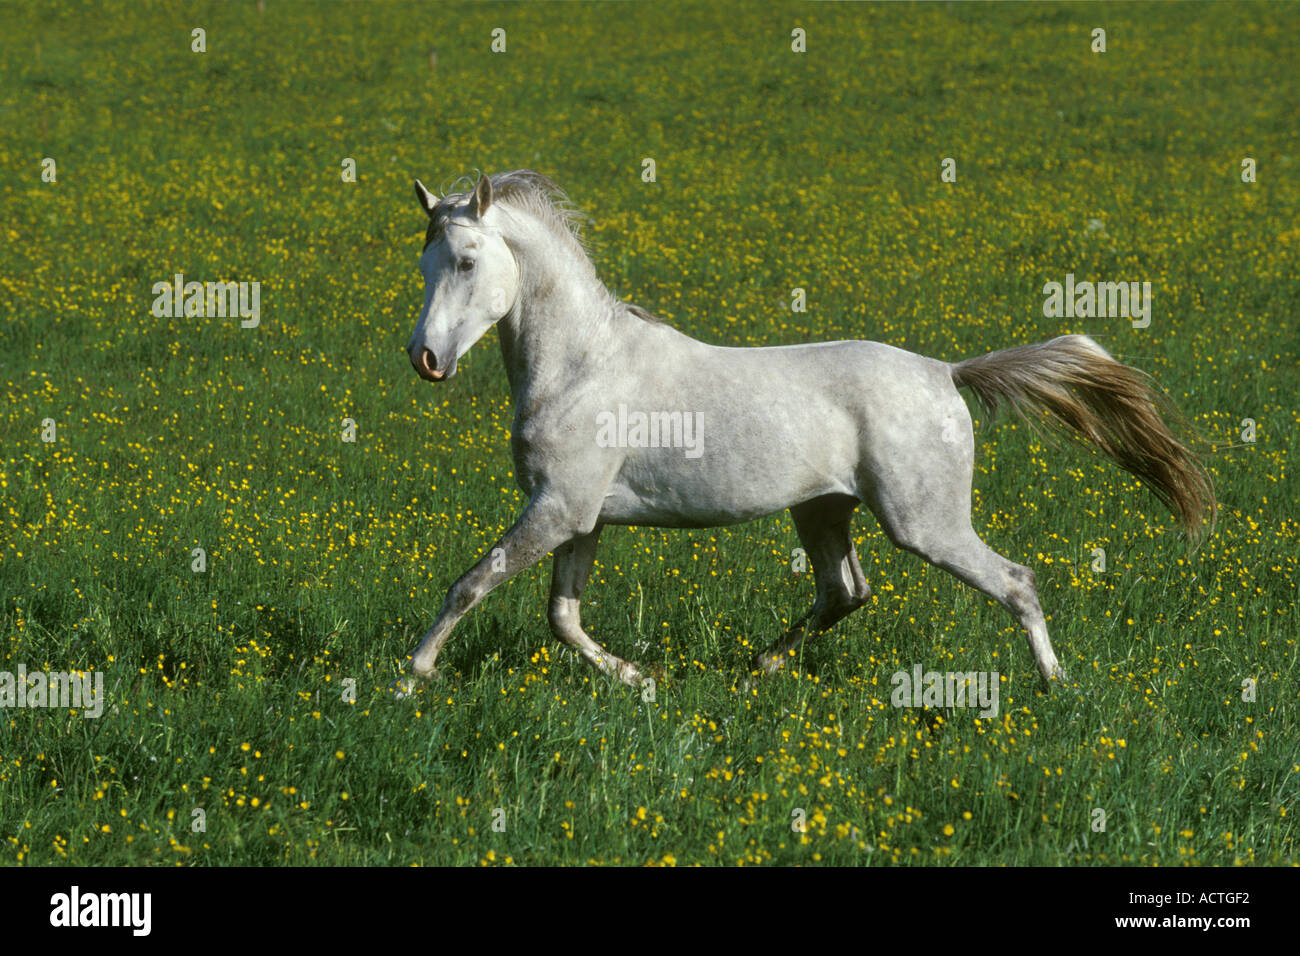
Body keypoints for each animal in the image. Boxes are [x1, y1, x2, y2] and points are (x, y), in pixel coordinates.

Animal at [394, 169, 1214, 695]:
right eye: (425, 262)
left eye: (467, 259)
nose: (425, 358)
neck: (581, 365)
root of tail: (946, 372)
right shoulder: (581, 517)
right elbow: (562, 619)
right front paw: (642, 680)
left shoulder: (559, 508)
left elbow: (473, 582)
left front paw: (411, 676)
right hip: (823, 509)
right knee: (845, 591)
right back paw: (757, 668)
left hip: (923, 522)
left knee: (1014, 581)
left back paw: (1055, 685)